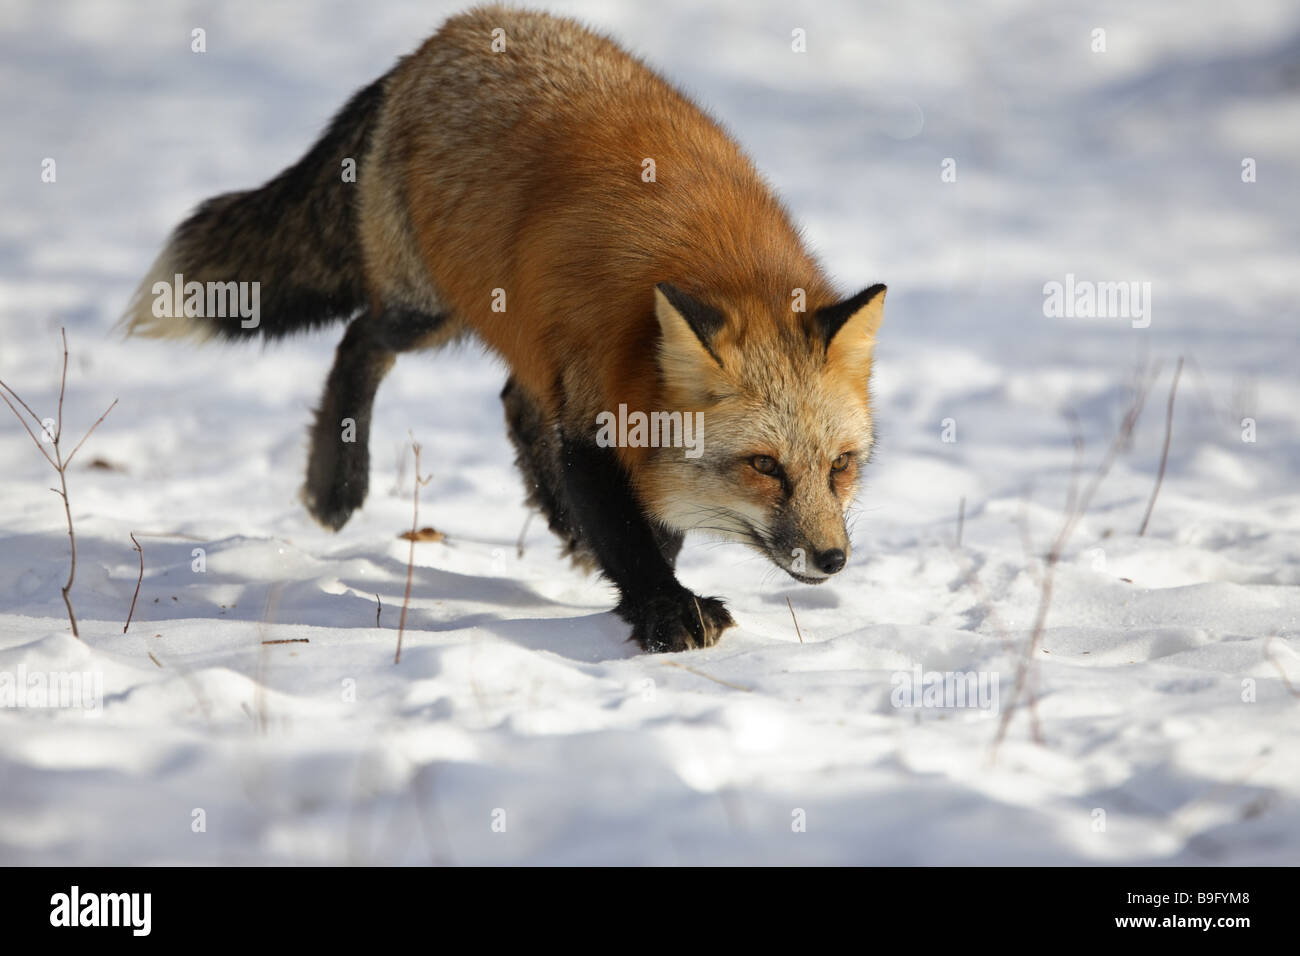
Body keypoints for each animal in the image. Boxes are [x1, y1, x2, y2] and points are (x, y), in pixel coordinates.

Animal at [121, 5, 887, 653]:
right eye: (764, 466)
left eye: (841, 465)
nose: (833, 558)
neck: (718, 265)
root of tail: (440, 37)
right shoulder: (592, 406)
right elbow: (628, 535)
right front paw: (664, 609)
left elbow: (643, 520)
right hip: (428, 309)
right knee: (361, 341)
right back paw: (337, 484)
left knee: (513, 403)